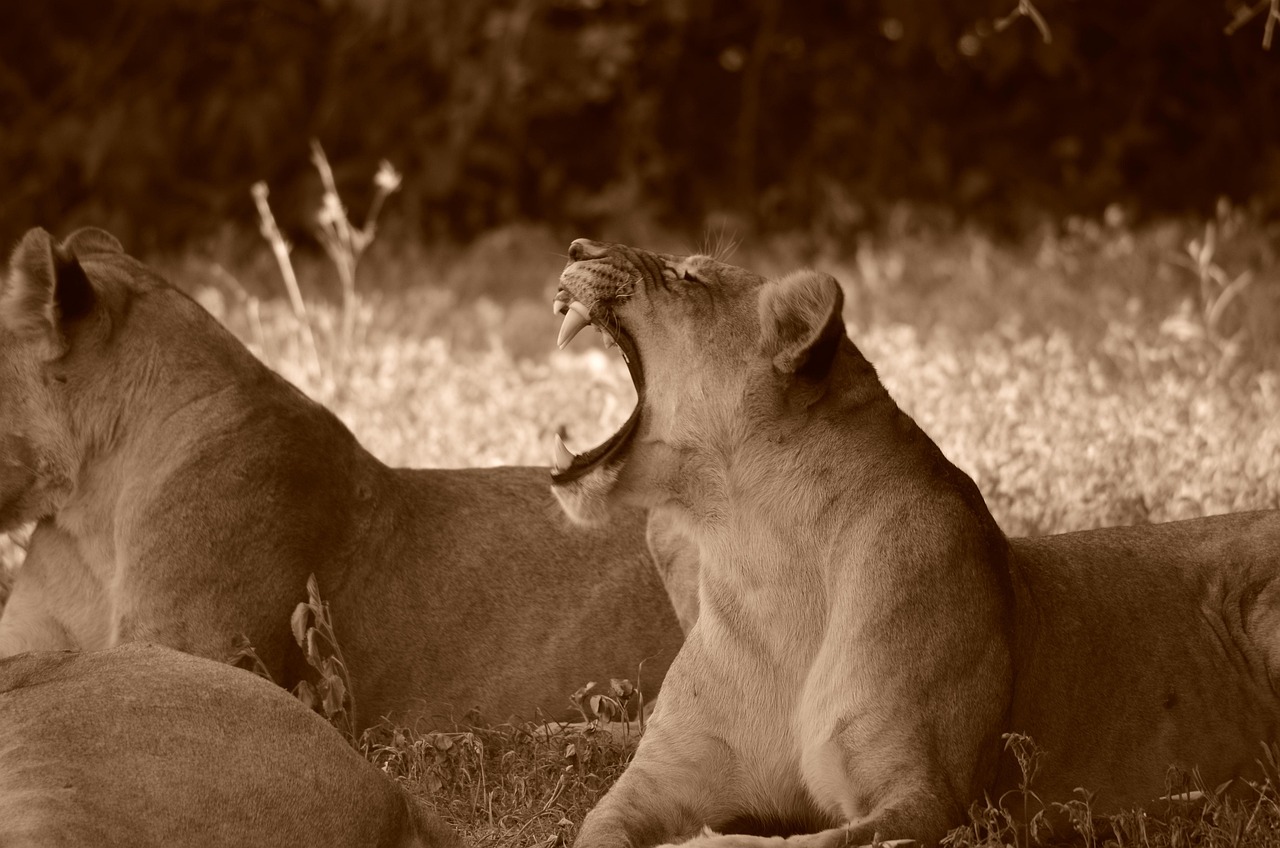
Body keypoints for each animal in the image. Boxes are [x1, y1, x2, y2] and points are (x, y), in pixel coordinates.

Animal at [548, 238, 1280, 848]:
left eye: (688, 277)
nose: (578, 246)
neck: (759, 555)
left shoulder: (927, 798)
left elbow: (798, 846)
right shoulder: (661, 779)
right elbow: (597, 828)